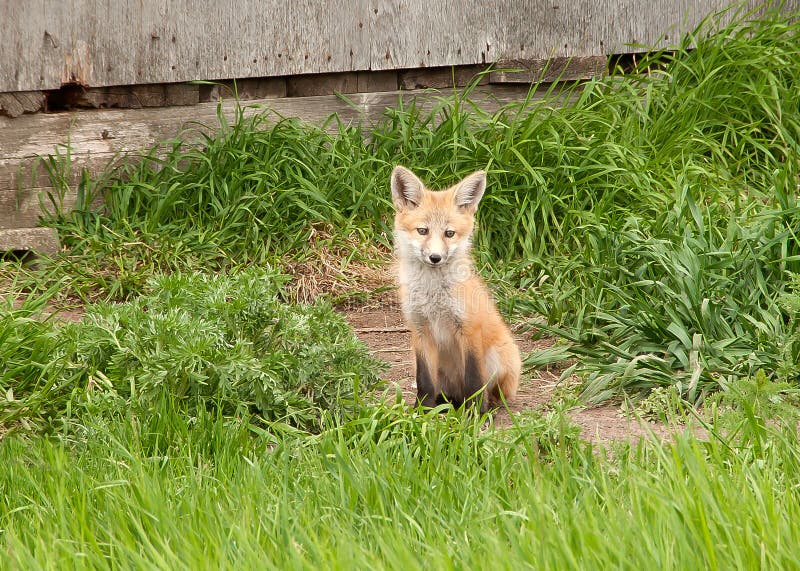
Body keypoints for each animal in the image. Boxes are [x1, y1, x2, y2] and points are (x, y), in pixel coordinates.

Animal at [390, 165, 521, 413]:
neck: (433, 294)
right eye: (422, 231)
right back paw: (444, 403)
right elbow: (424, 381)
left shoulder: (468, 328)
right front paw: (422, 411)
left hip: (499, 358)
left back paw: (485, 406)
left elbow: (474, 379)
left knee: (493, 392)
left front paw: (476, 413)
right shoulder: (420, 330)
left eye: (449, 233)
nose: (435, 257)